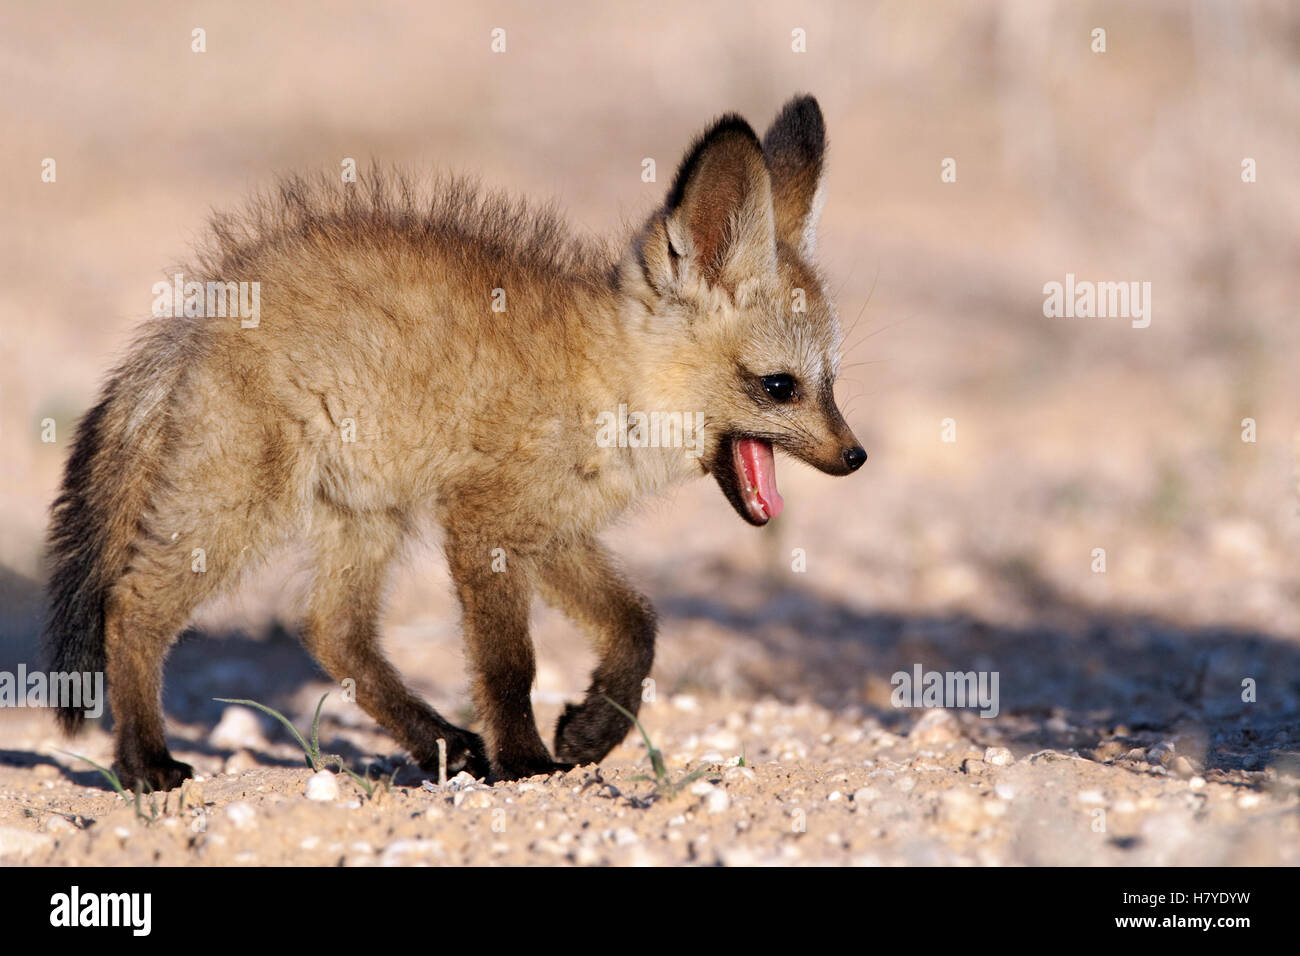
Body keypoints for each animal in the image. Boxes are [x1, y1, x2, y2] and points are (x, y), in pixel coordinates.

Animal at [45, 94, 866, 790]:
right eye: (780, 387)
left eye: (831, 384)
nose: (855, 457)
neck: (606, 387)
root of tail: (196, 311)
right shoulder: (484, 526)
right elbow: (510, 665)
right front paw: (528, 763)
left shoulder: (551, 530)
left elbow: (638, 626)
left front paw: (590, 730)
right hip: (240, 508)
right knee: (133, 605)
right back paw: (145, 762)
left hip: (364, 515)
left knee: (332, 631)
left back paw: (442, 744)